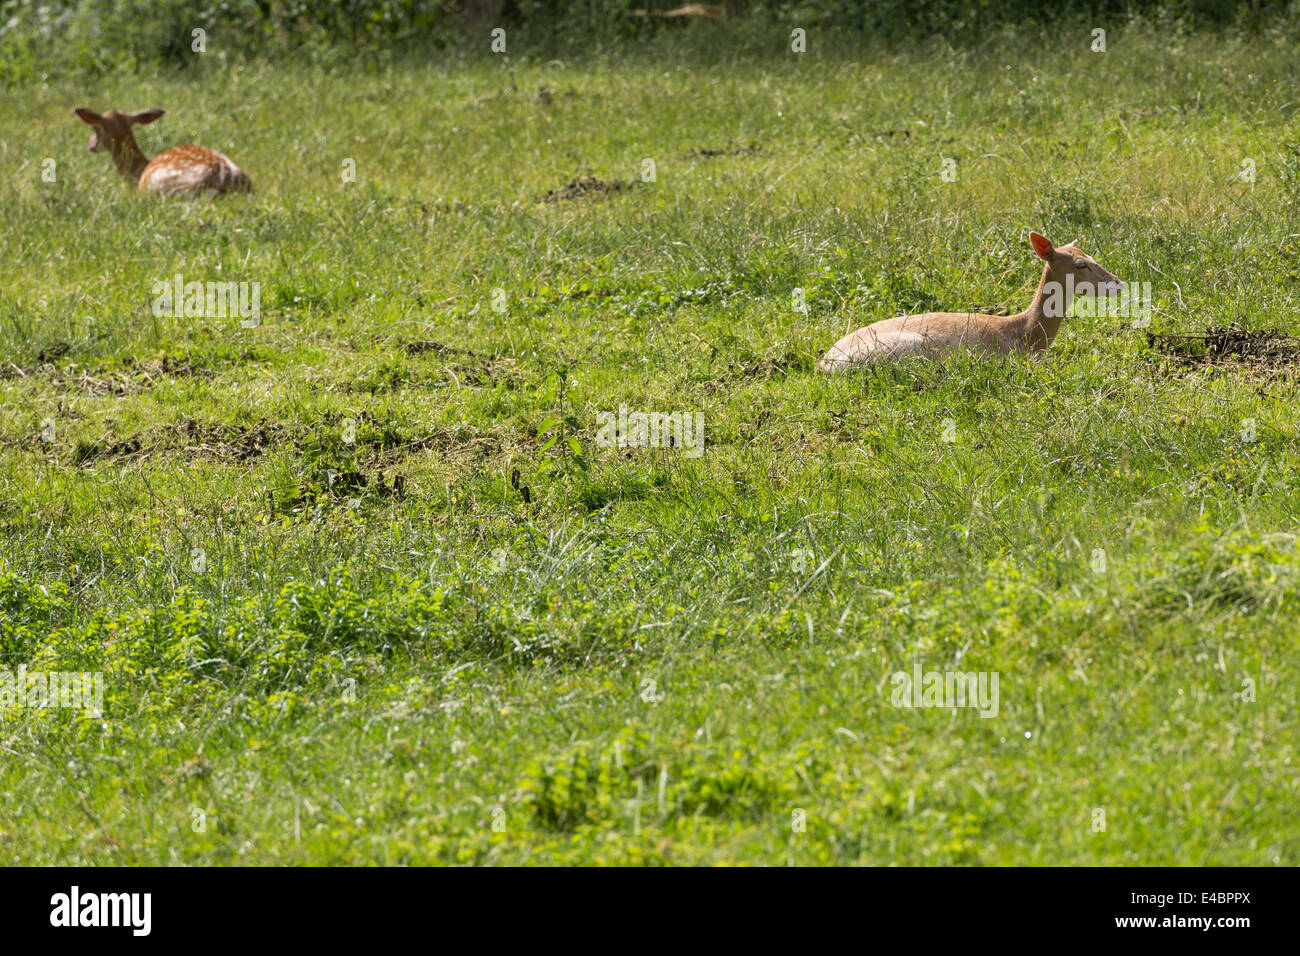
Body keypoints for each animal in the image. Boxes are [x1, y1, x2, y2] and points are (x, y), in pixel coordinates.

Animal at [816, 232, 1123, 370]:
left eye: (1092, 256)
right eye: (1081, 265)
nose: (1118, 283)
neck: (1025, 336)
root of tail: (825, 365)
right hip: (909, 349)